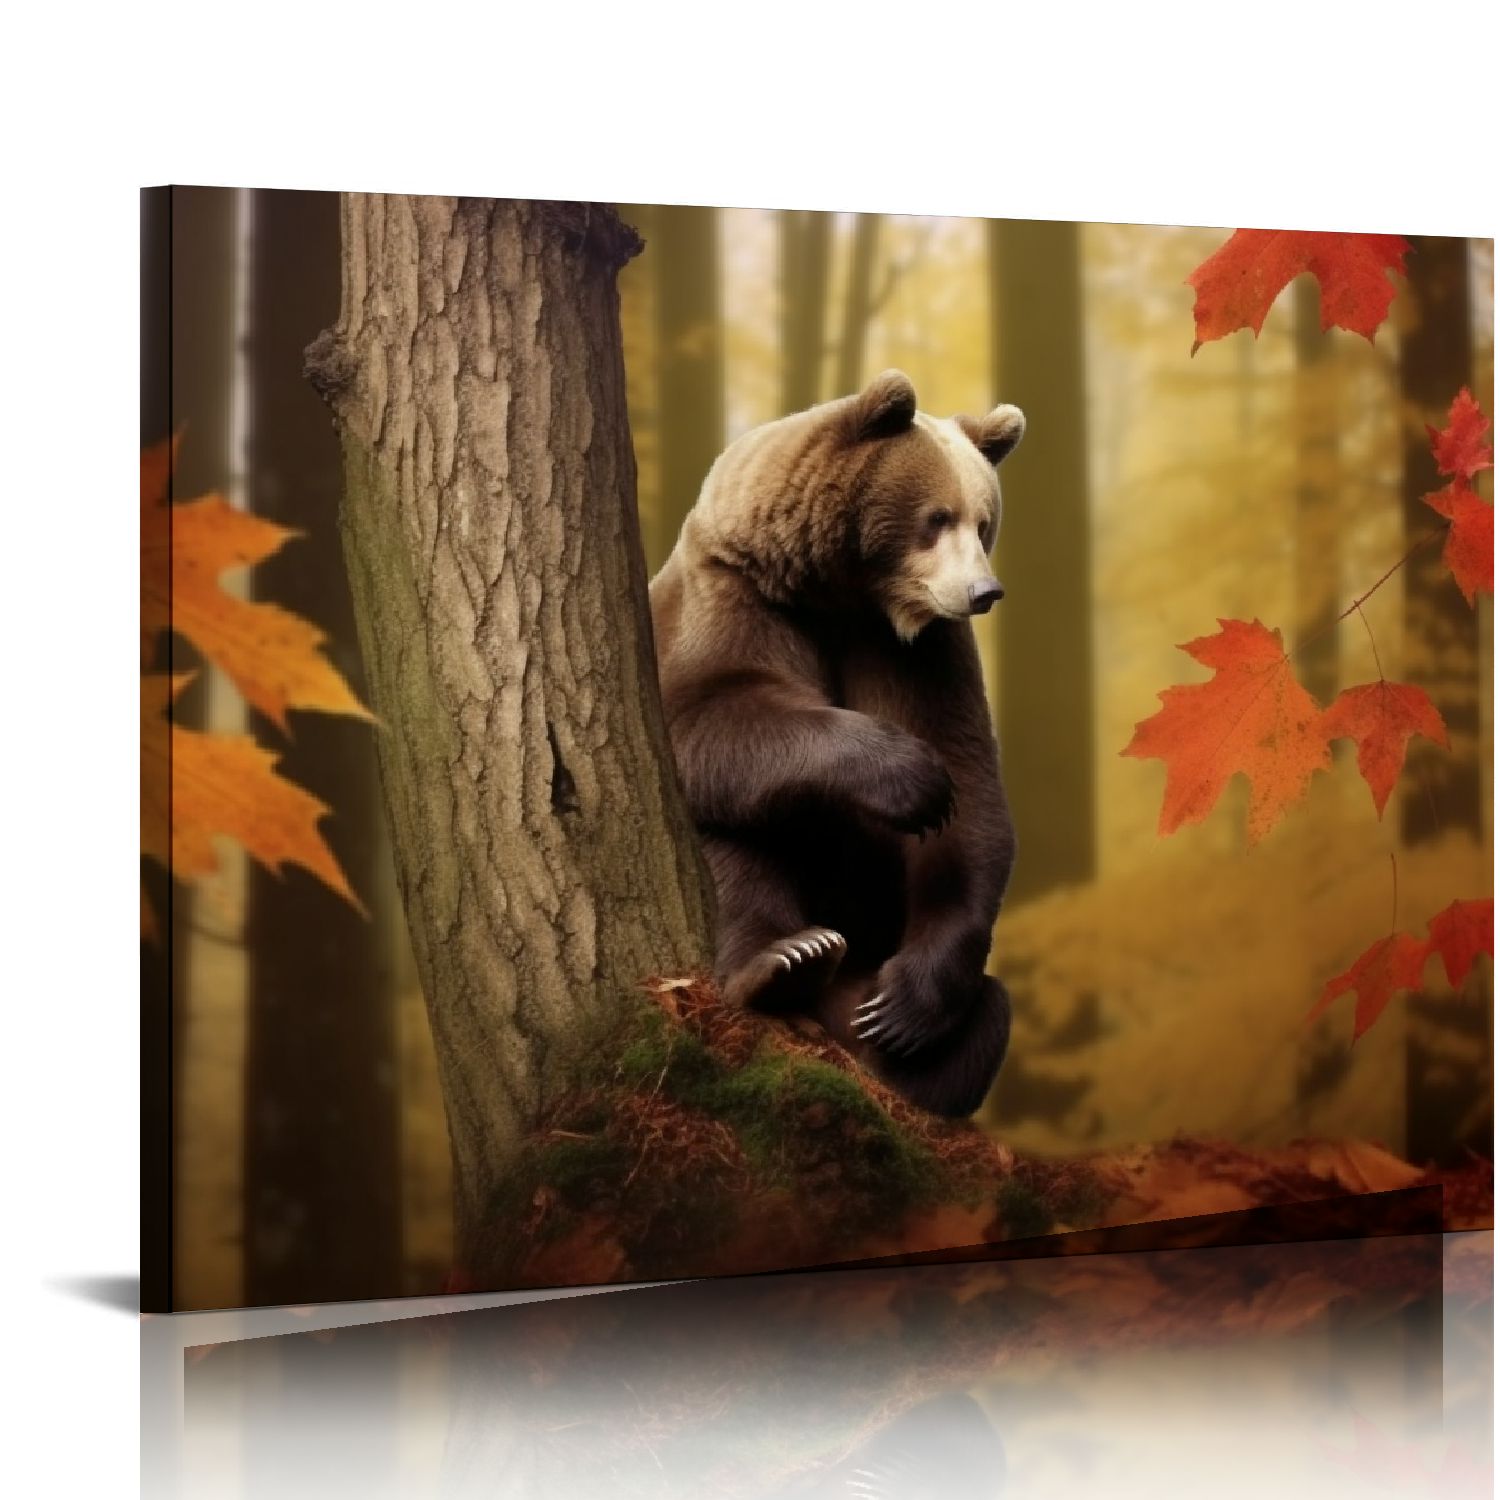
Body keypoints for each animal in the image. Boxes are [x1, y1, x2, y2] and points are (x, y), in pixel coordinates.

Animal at [649, 369, 1025, 1117]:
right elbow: (706, 713)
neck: (840, 591)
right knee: (735, 841)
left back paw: (893, 1061)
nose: (983, 592)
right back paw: (789, 958)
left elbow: (969, 788)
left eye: (983, 522)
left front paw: (902, 1013)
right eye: (937, 517)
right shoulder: (735, 597)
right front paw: (910, 779)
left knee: (991, 1010)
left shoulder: (914, 648)